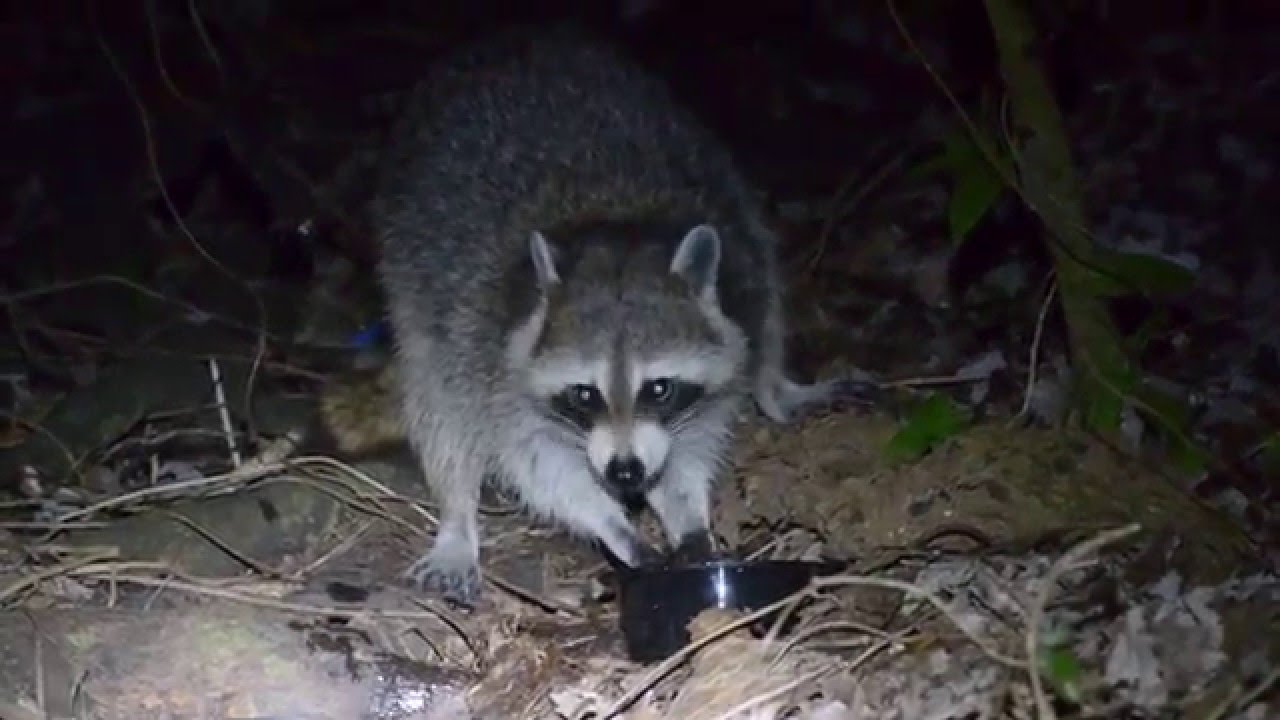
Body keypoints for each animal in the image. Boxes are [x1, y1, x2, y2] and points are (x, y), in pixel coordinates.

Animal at [373, 24, 853, 604]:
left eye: (659, 388)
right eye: (585, 394)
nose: (626, 472)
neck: (611, 223)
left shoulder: (729, 323)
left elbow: (697, 436)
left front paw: (686, 511)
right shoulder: (488, 353)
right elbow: (533, 463)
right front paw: (609, 521)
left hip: (742, 224)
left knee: (767, 316)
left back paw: (779, 390)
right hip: (414, 269)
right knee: (437, 401)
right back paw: (457, 523)